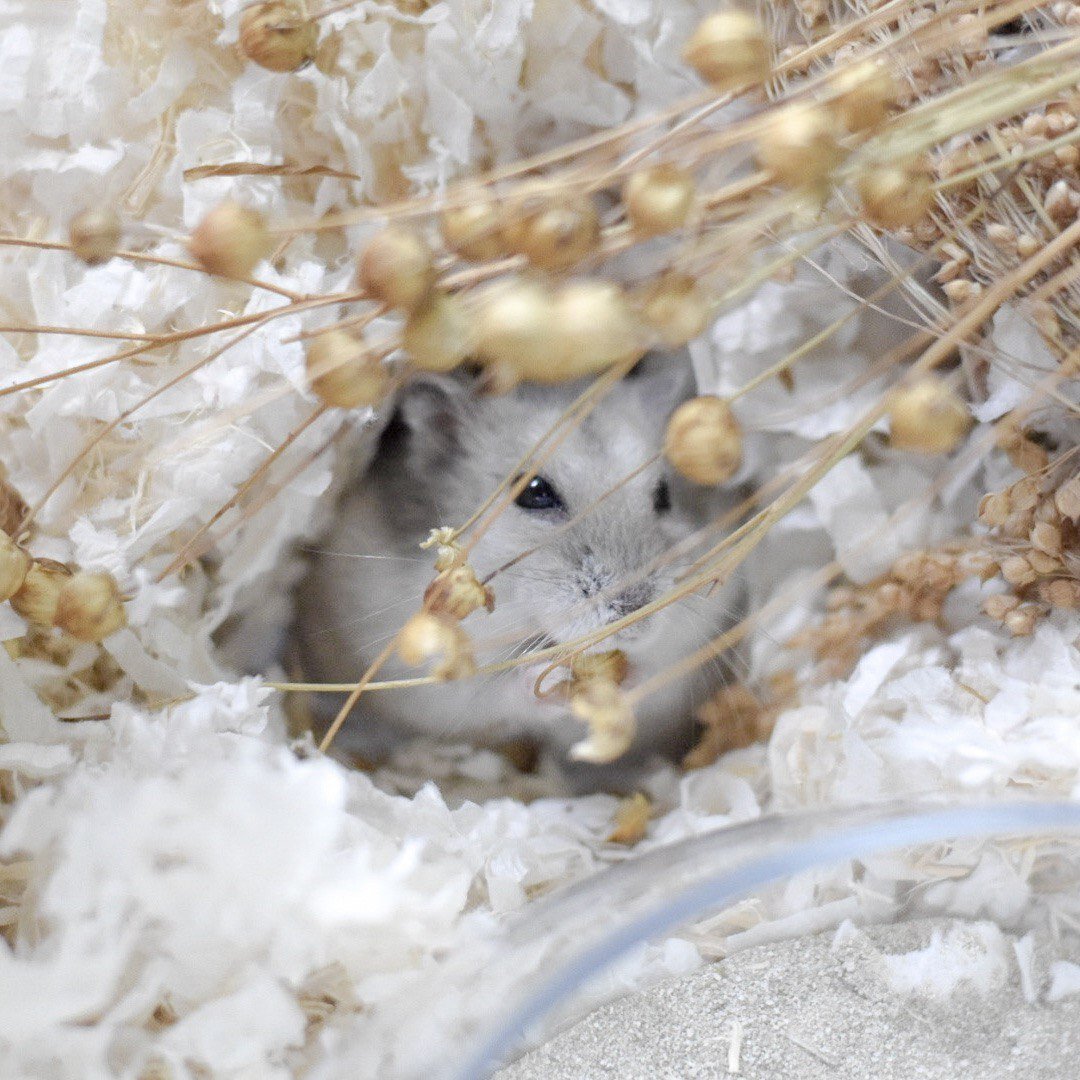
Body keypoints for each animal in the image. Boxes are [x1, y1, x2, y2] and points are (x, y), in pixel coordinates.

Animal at [294, 354, 742, 765]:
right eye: (535, 492)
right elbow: (497, 694)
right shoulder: (418, 668)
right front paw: (553, 677)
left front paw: (630, 676)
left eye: (664, 494)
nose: (635, 621)